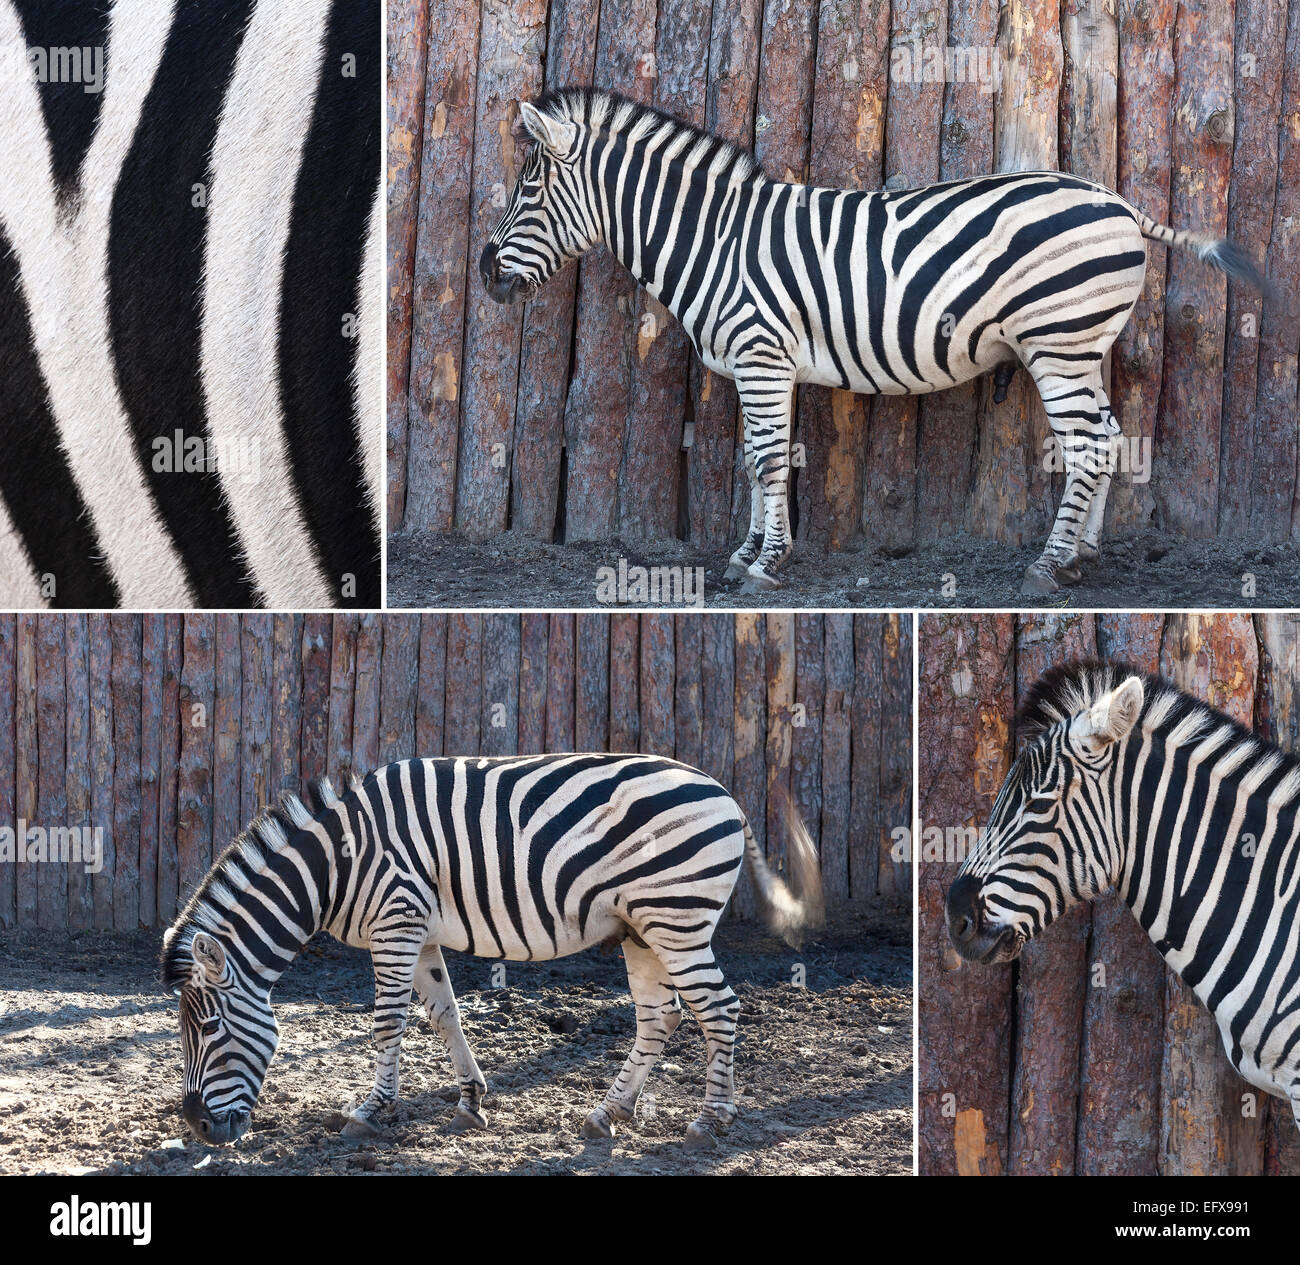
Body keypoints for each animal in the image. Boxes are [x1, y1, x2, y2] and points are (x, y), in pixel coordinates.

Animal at [162, 753, 823, 1149]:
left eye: (209, 1028)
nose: (198, 1126)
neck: (336, 865)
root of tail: (725, 795)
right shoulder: (418, 930)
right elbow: (444, 1013)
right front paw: (470, 1101)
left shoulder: (396, 921)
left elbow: (387, 1024)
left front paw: (369, 1111)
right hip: (643, 927)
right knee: (660, 1016)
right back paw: (609, 1112)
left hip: (677, 918)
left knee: (719, 1008)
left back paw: (711, 1119)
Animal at [481, 87, 1268, 596]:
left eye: (528, 190)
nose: (487, 273)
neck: (715, 240)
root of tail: (1122, 204)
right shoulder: (759, 366)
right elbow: (756, 461)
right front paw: (745, 553)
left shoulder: (762, 356)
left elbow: (768, 460)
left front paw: (766, 565)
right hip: (1083, 345)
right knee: (1107, 435)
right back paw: (1083, 558)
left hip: (1057, 343)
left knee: (1086, 444)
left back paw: (1047, 568)